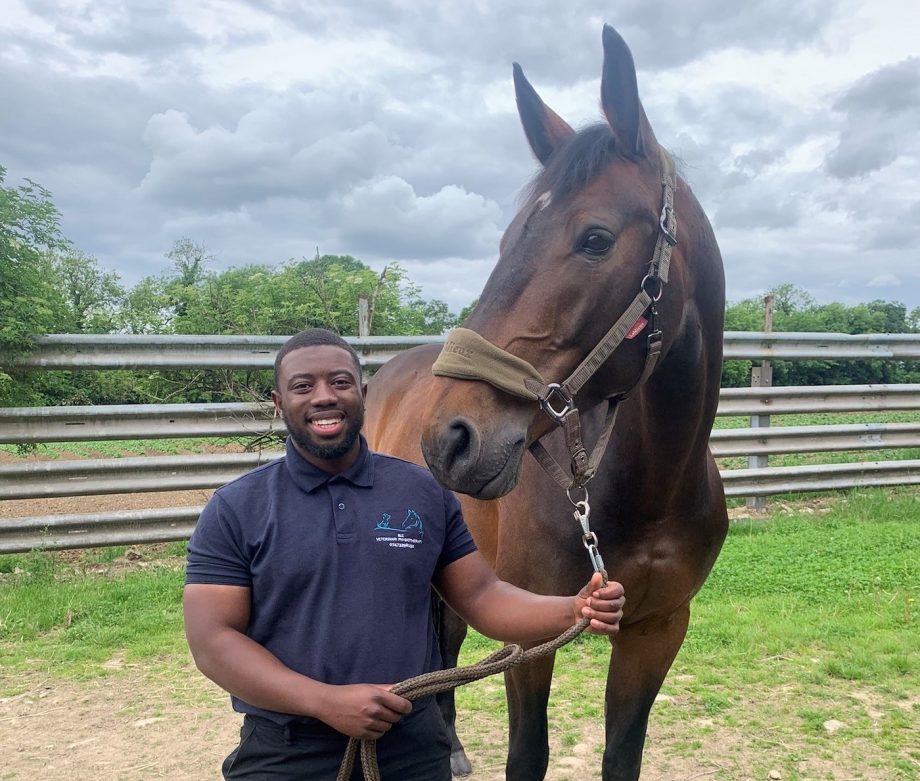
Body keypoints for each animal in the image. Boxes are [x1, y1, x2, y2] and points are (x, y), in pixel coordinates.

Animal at [364, 24, 728, 781]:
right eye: (507, 241)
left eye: (594, 238)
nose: (452, 437)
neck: (651, 488)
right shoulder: (529, 636)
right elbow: (527, 753)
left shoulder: (656, 630)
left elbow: (623, 754)